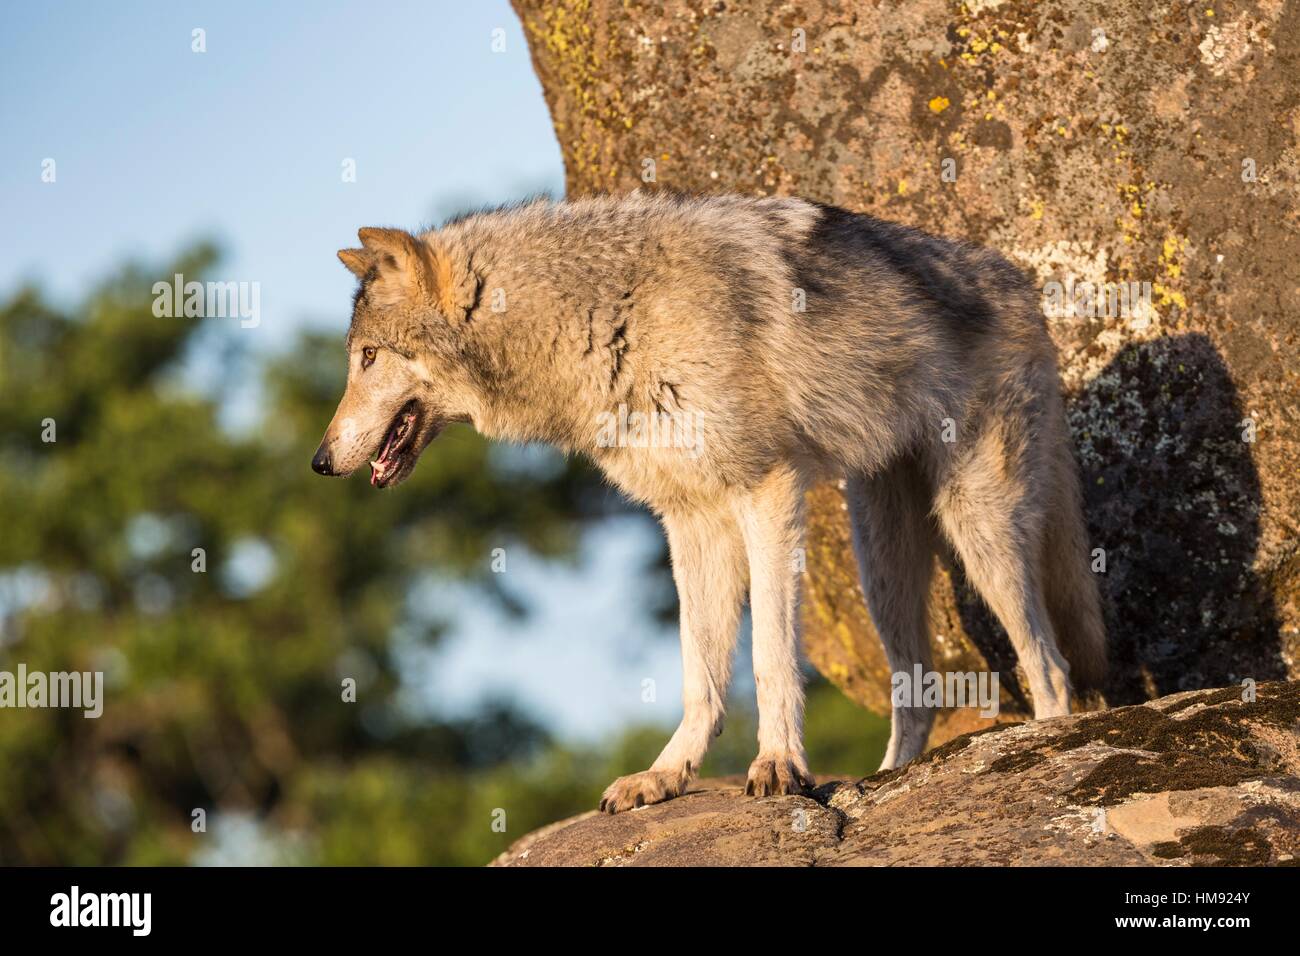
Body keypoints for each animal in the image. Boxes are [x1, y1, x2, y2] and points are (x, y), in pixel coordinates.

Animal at [312, 192, 1107, 813]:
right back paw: (883, 782)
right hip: (882, 565)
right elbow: (700, 673)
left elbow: (769, 658)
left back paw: (1046, 742)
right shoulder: (691, 519)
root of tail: (1025, 283)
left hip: (980, 531)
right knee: (921, 690)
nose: (319, 462)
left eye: (367, 358)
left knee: (1050, 663)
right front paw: (665, 776)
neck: (608, 314)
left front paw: (780, 767)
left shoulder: (766, 490)